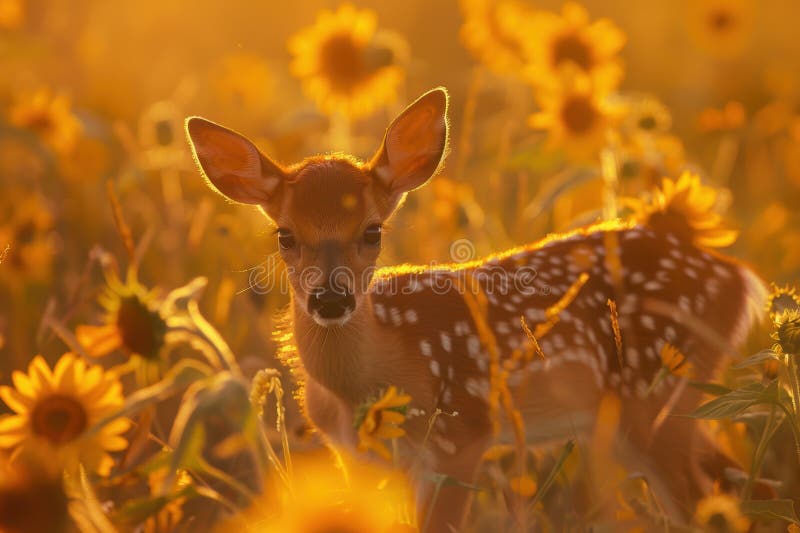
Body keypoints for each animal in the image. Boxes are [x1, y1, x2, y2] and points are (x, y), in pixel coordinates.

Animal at [185, 87, 766, 531]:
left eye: (372, 231)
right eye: (285, 235)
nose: (331, 298)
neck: (371, 377)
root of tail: (735, 273)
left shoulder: (461, 433)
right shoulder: (352, 455)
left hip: (656, 396)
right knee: (736, 482)